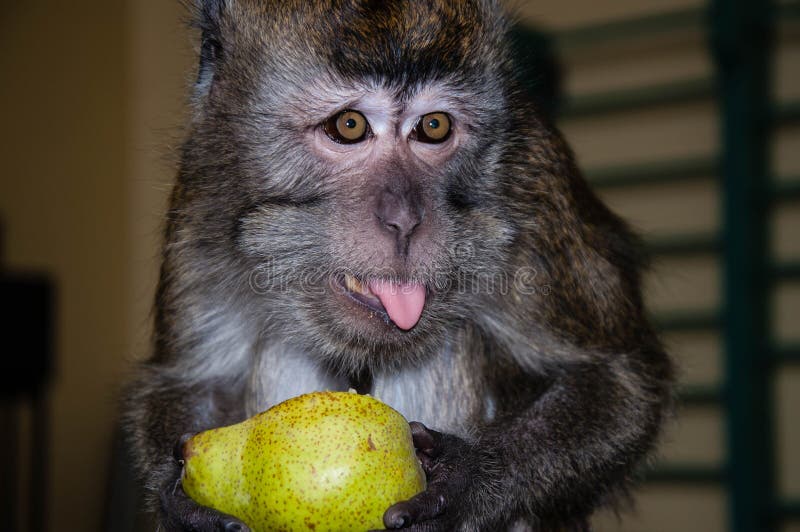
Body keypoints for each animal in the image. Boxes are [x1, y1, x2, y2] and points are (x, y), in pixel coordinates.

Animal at [123, 0, 674, 530]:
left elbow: (614, 382)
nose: (405, 219)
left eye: (434, 126)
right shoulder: (199, 200)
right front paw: (181, 499)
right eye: (349, 126)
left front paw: (470, 478)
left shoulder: (533, 187)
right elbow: (197, 381)